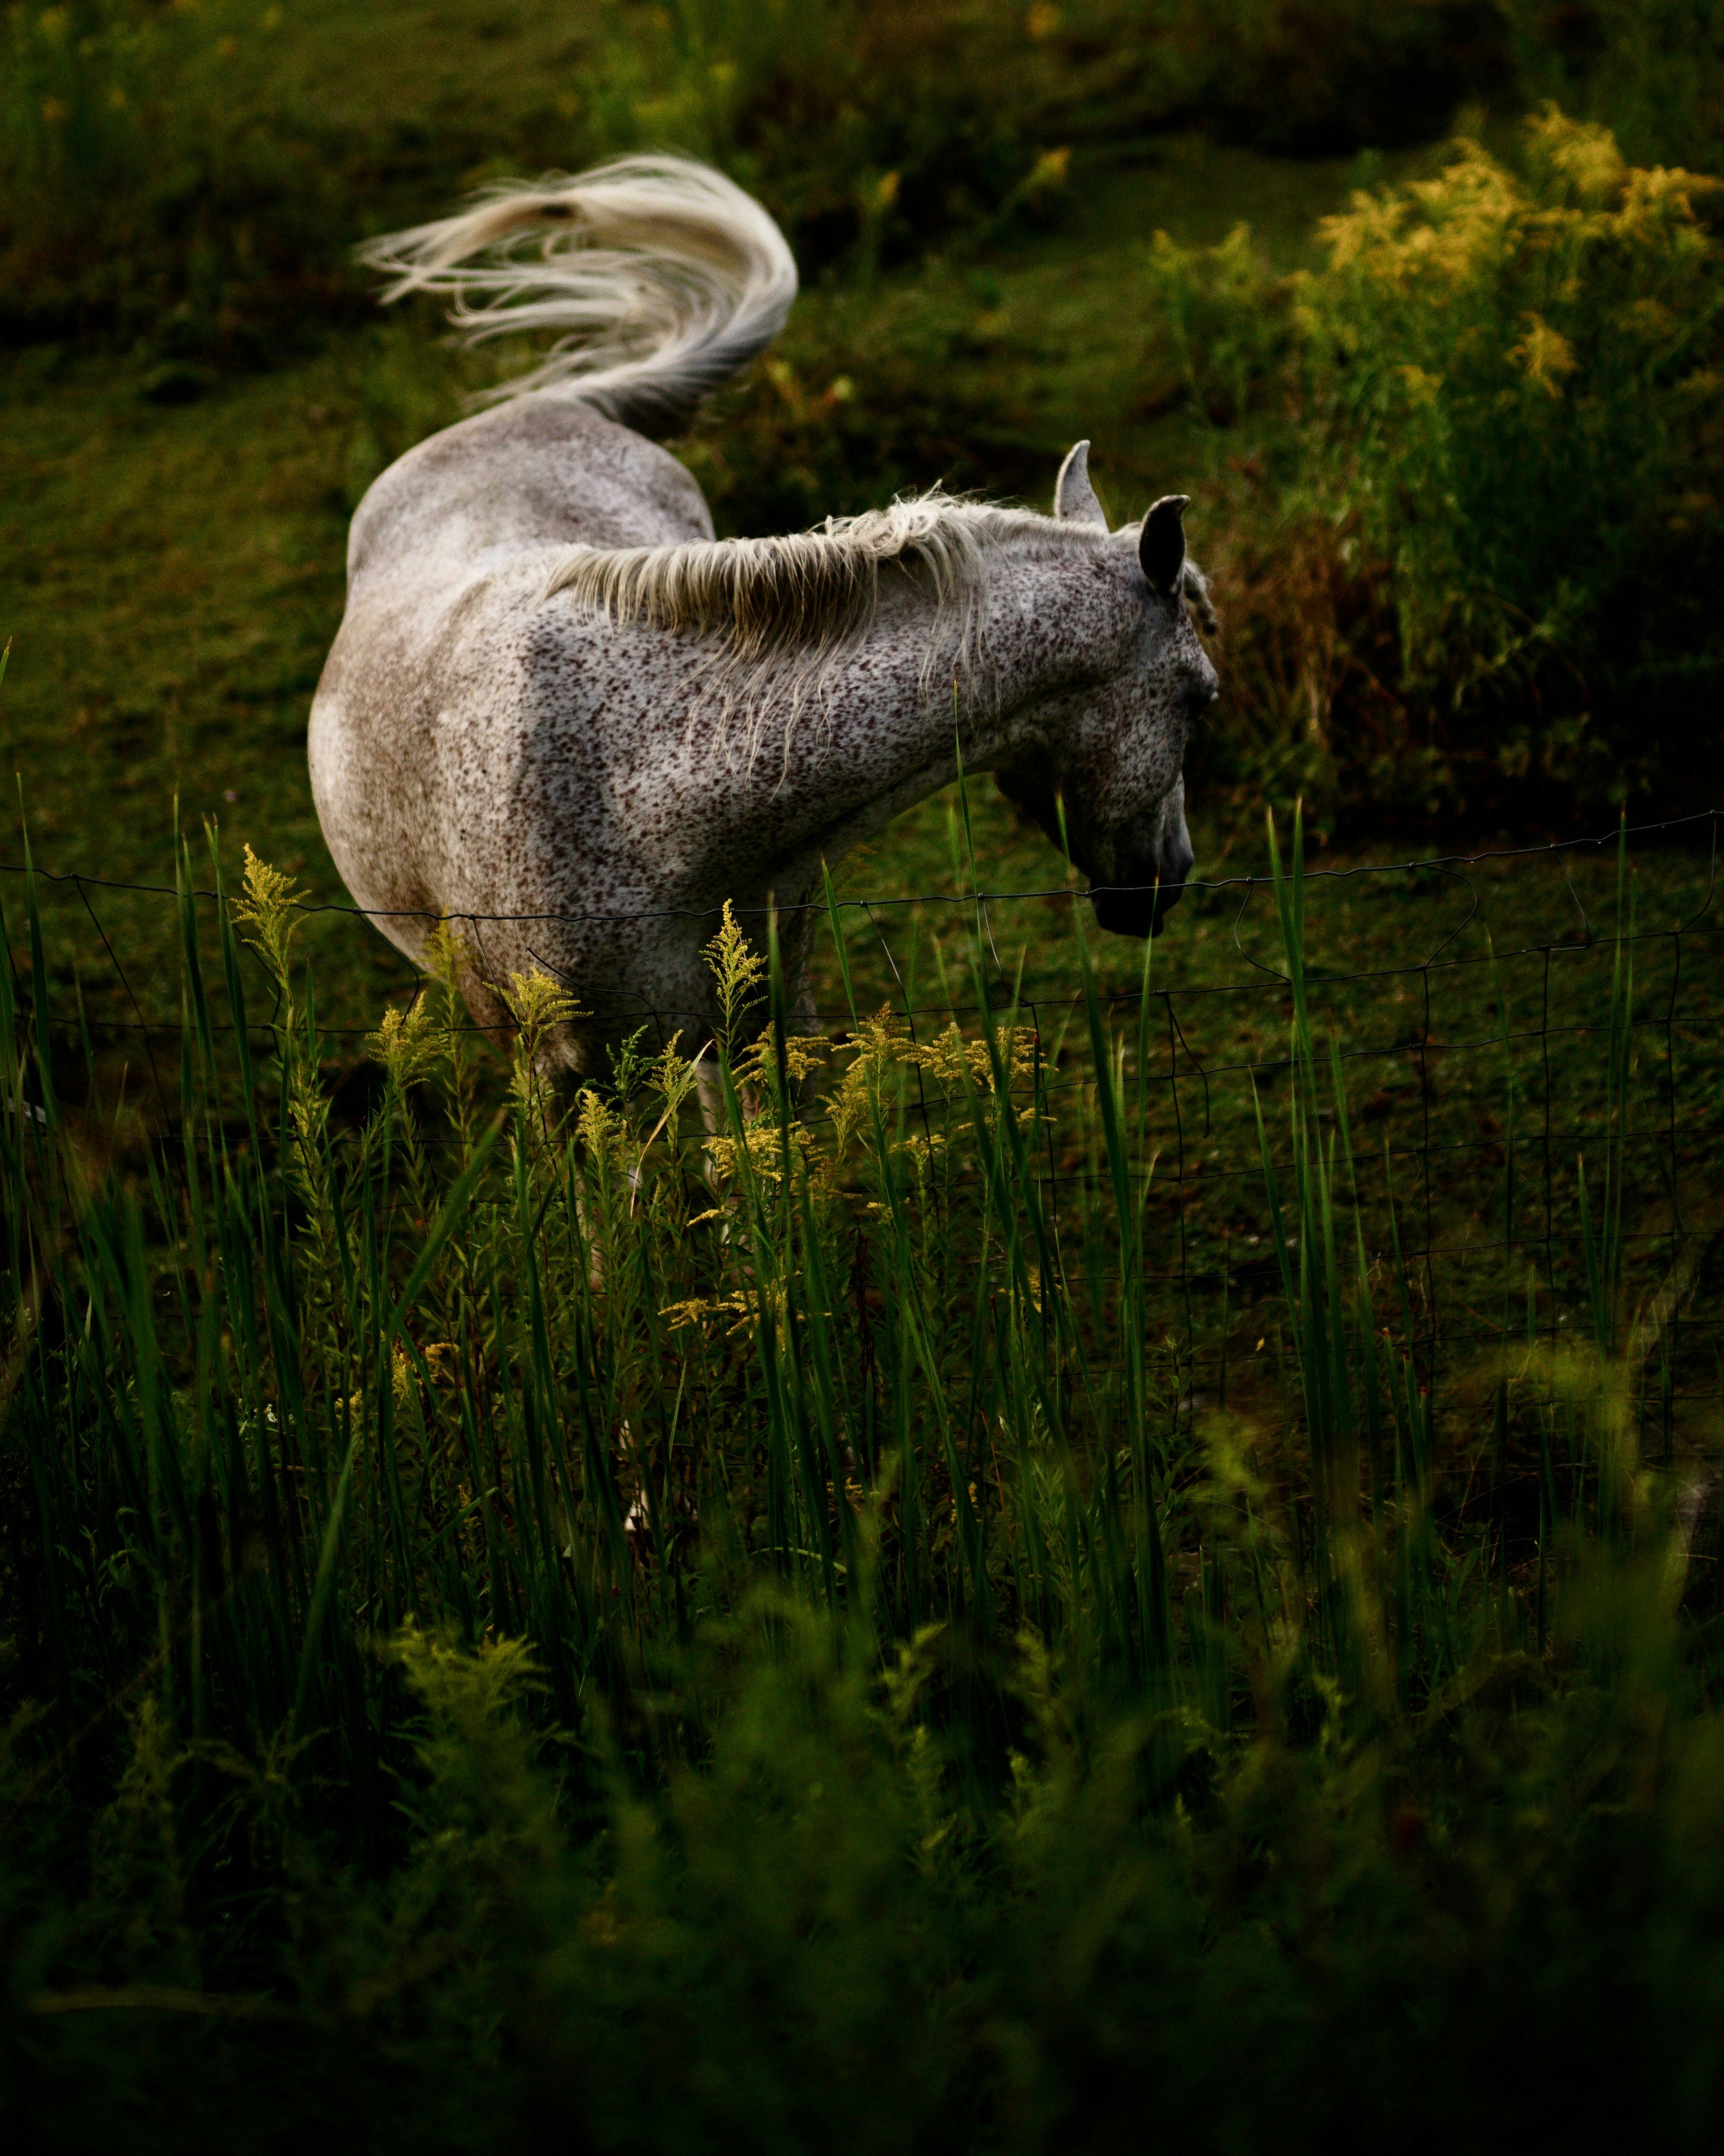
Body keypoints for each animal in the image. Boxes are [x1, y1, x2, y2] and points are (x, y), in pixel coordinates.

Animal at [308, 156, 1218, 1076]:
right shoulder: (547, 1072)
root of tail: (553, 405)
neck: (644, 788)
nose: (1173, 874)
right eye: (1201, 698)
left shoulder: (766, 1032)